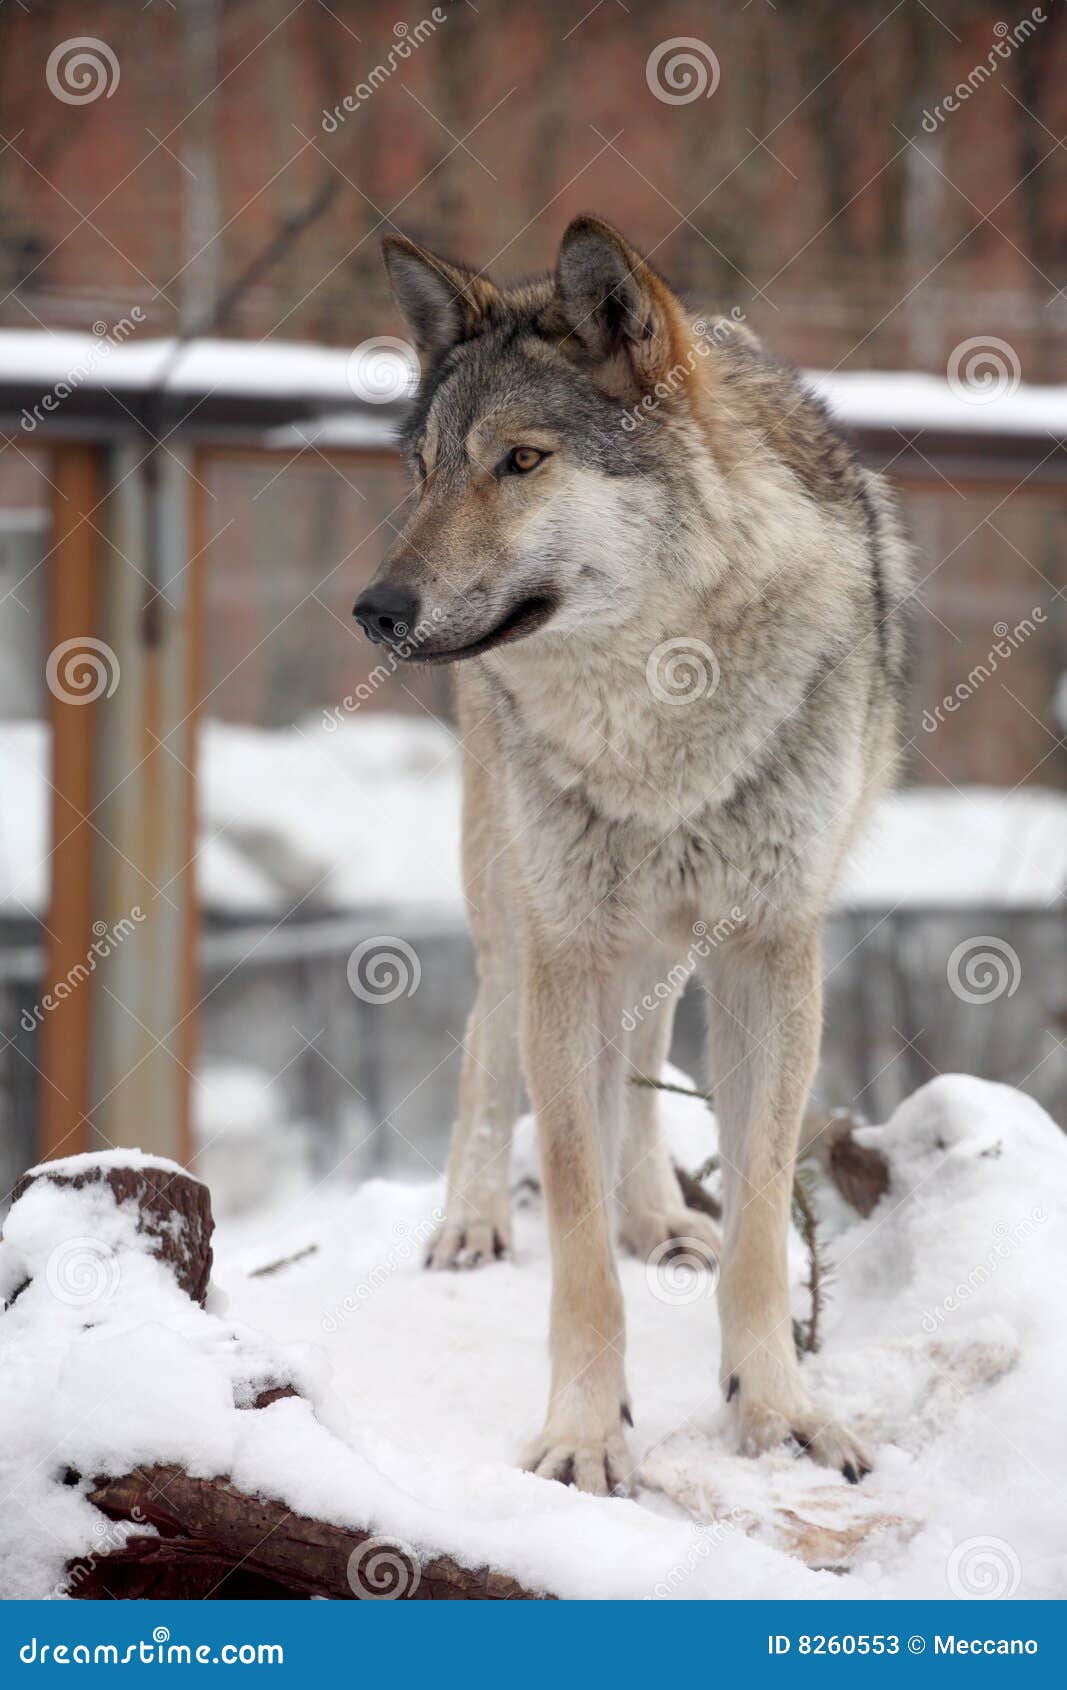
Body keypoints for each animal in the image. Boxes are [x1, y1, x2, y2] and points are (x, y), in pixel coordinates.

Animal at [354, 215, 910, 1496]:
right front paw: (582, 1433)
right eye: (424, 472)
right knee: (486, 1035)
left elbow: (756, 1218)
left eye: (520, 462)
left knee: (643, 1059)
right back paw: (469, 1223)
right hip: (520, 904)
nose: (376, 608)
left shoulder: (768, 949)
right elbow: (570, 1224)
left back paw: (654, 1216)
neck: (659, 714)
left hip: (662, 936)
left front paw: (776, 1414)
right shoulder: (568, 947)